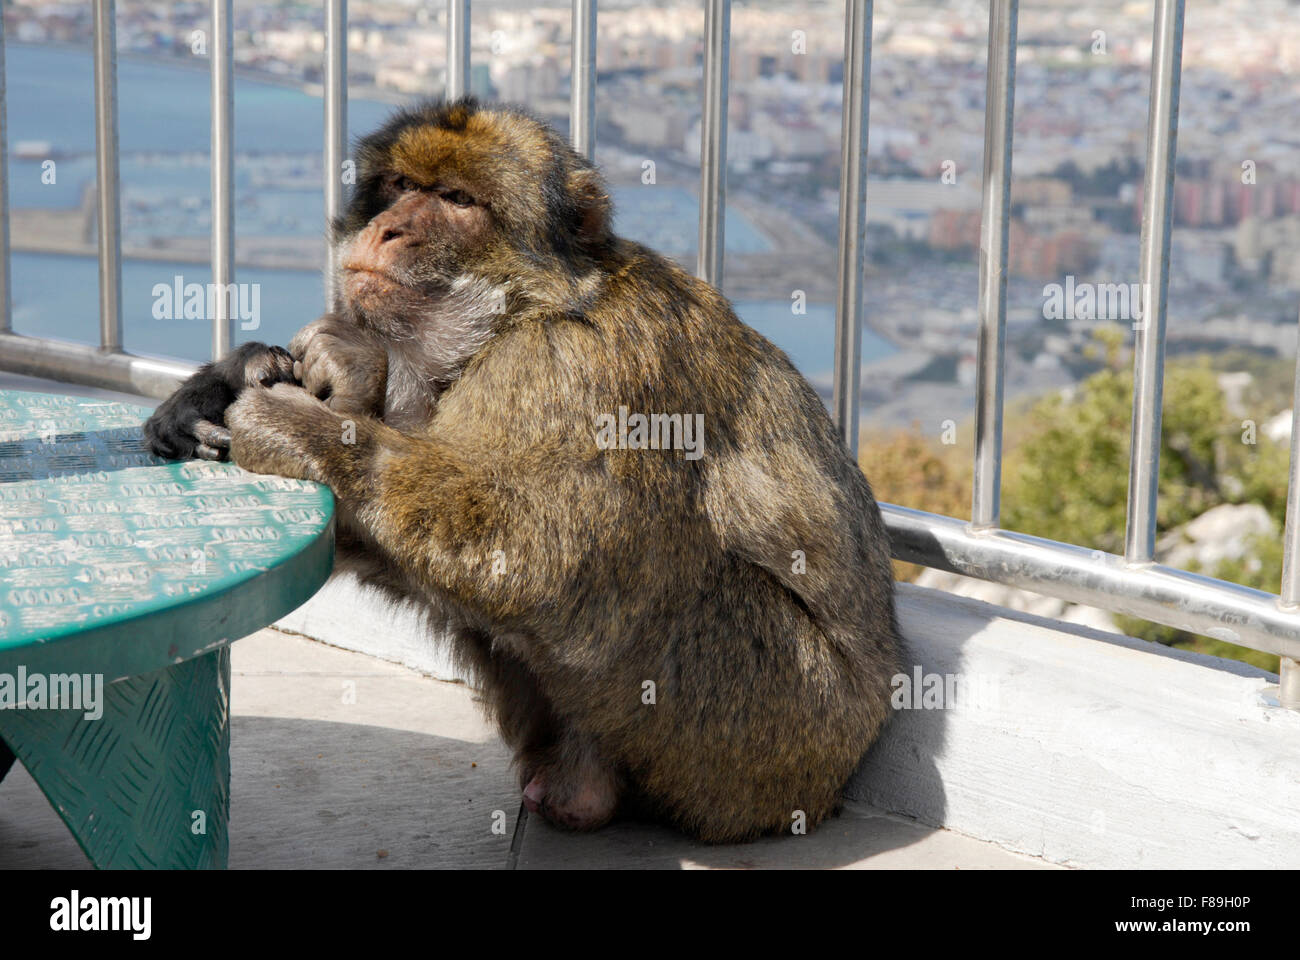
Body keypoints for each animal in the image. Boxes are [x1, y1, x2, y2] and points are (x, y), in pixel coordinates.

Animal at [144, 98, 903, 844]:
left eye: (456, 199)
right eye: (399, 186)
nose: (389, 228)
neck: (517, 312)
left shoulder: (578, 365)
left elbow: (539, 554)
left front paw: (306, 425)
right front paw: (258, 377)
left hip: (771, 721)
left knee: (646, 567)